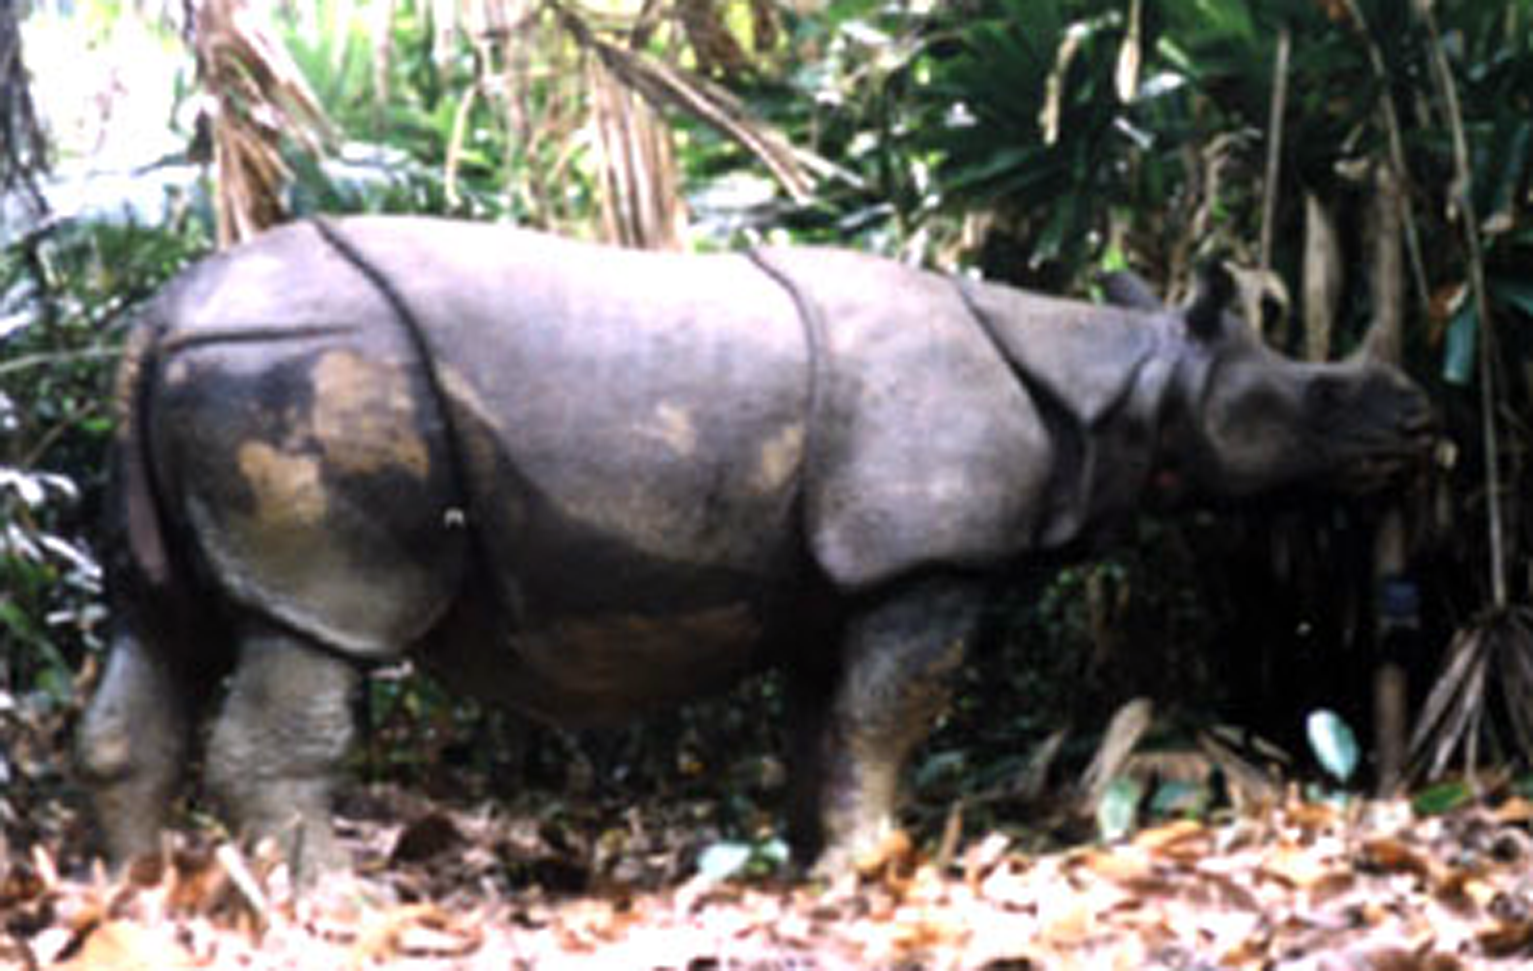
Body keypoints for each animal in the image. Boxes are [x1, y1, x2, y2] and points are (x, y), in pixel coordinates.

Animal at [78, 216, 1434, 878]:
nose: (1418, 416)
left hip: (223, 366)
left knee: (159, 627)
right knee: (313, 629)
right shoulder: (927, 559)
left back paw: (145, 900)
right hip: (310, 364)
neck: (1132, 373)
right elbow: (893, 713)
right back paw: (336, 902)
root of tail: (162, 311)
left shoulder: (838, 575)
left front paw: (813, 862)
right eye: (1313, 394)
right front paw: (875, 870)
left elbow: (825, 723)